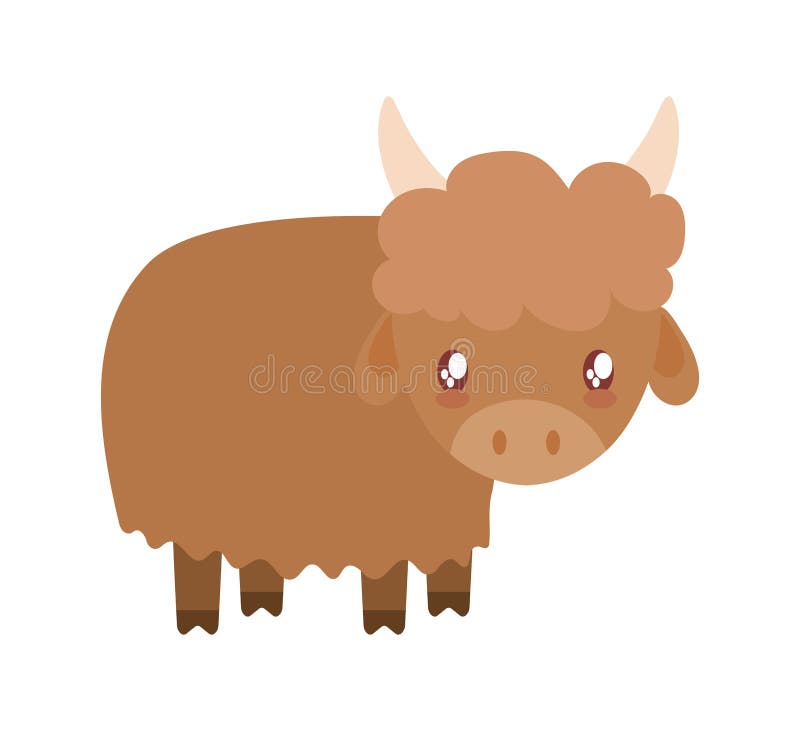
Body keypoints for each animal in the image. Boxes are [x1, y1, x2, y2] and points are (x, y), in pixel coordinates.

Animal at [101, 97, 698, 634]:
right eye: (450, 368)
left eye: (602, 367)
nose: (526, 427)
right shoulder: (387, 533)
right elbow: (386, 588)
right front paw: (388, 629)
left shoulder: (449, 530)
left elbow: (452, 578)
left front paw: (450, 618)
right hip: (188, 520)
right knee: (196, 568)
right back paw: (201, 625)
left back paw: (262, 612)